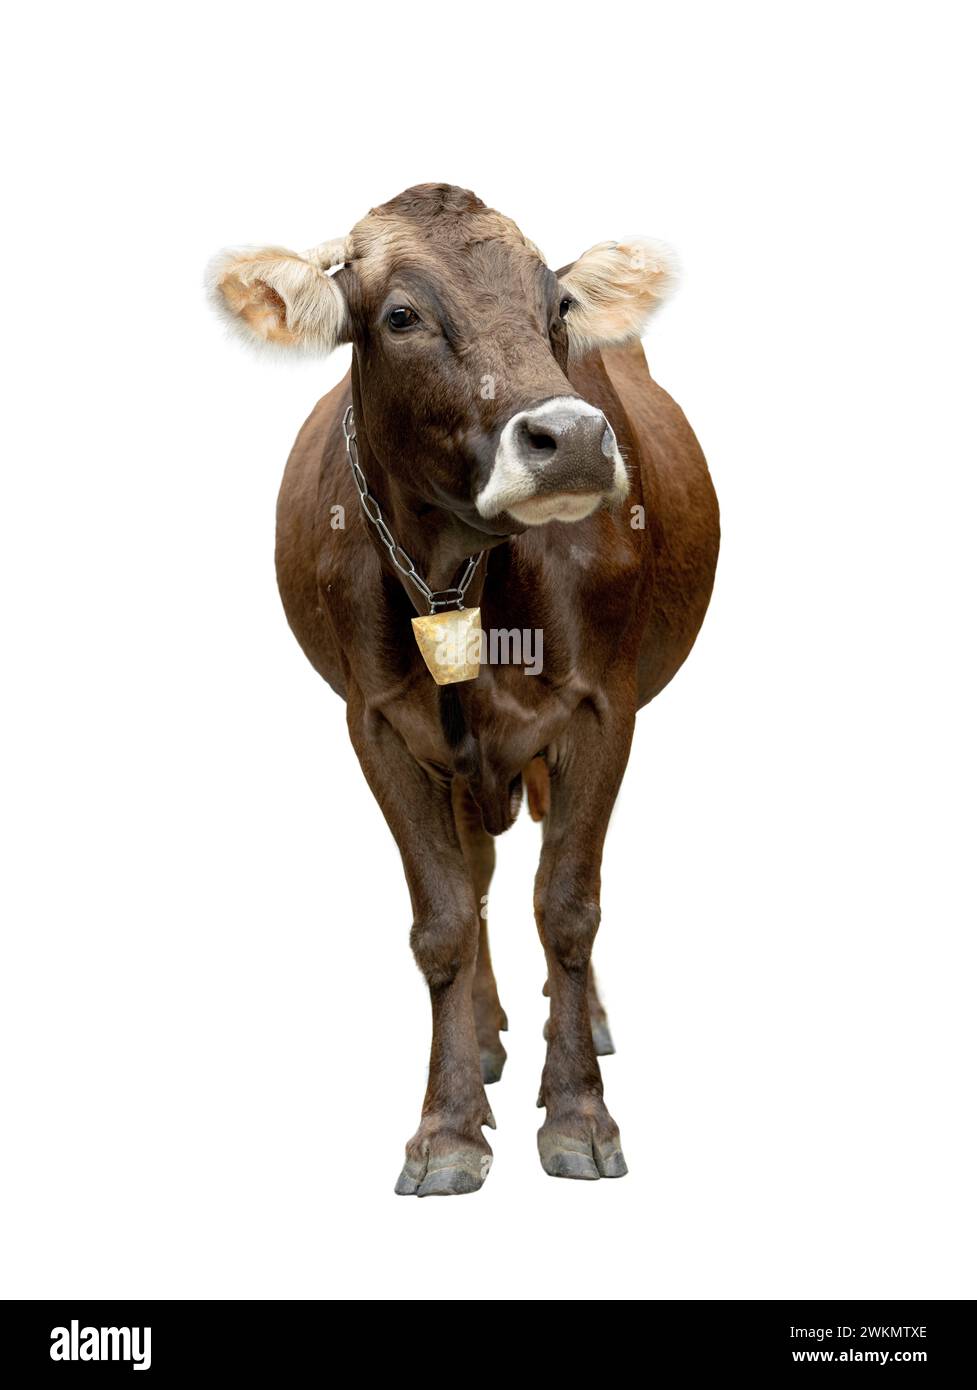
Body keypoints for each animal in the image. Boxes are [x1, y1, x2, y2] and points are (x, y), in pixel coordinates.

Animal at [208, 183, 719, 1196]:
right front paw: (445, 1129)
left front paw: (578, 1114)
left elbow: (567, 906)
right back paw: (480, 1045)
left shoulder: (602, 708)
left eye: (556, 306)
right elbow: (442, 920)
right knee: (477, 881)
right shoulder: (377, 725)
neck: (457, 578)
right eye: (401, 316)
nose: (573, 442)